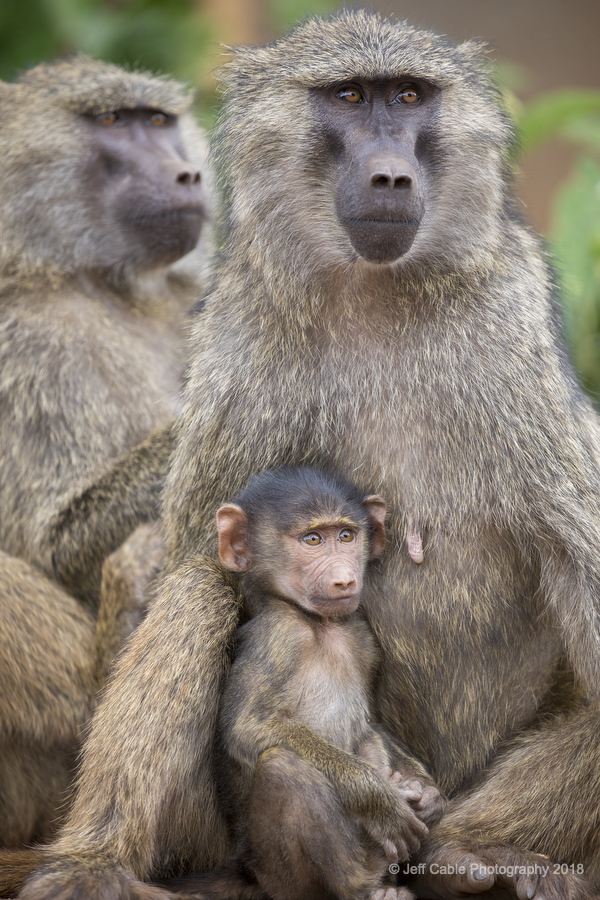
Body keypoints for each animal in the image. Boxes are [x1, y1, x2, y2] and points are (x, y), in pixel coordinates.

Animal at [12, 9, 600, 900]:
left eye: (409, 96)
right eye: (349, 97)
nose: (390, 177)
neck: (376, 289)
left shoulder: (512, 327)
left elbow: (577, 551)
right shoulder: (242, 333)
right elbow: (197, 552)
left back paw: (477, 858)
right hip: (220, 834)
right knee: (198, 584)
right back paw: (96, 861)